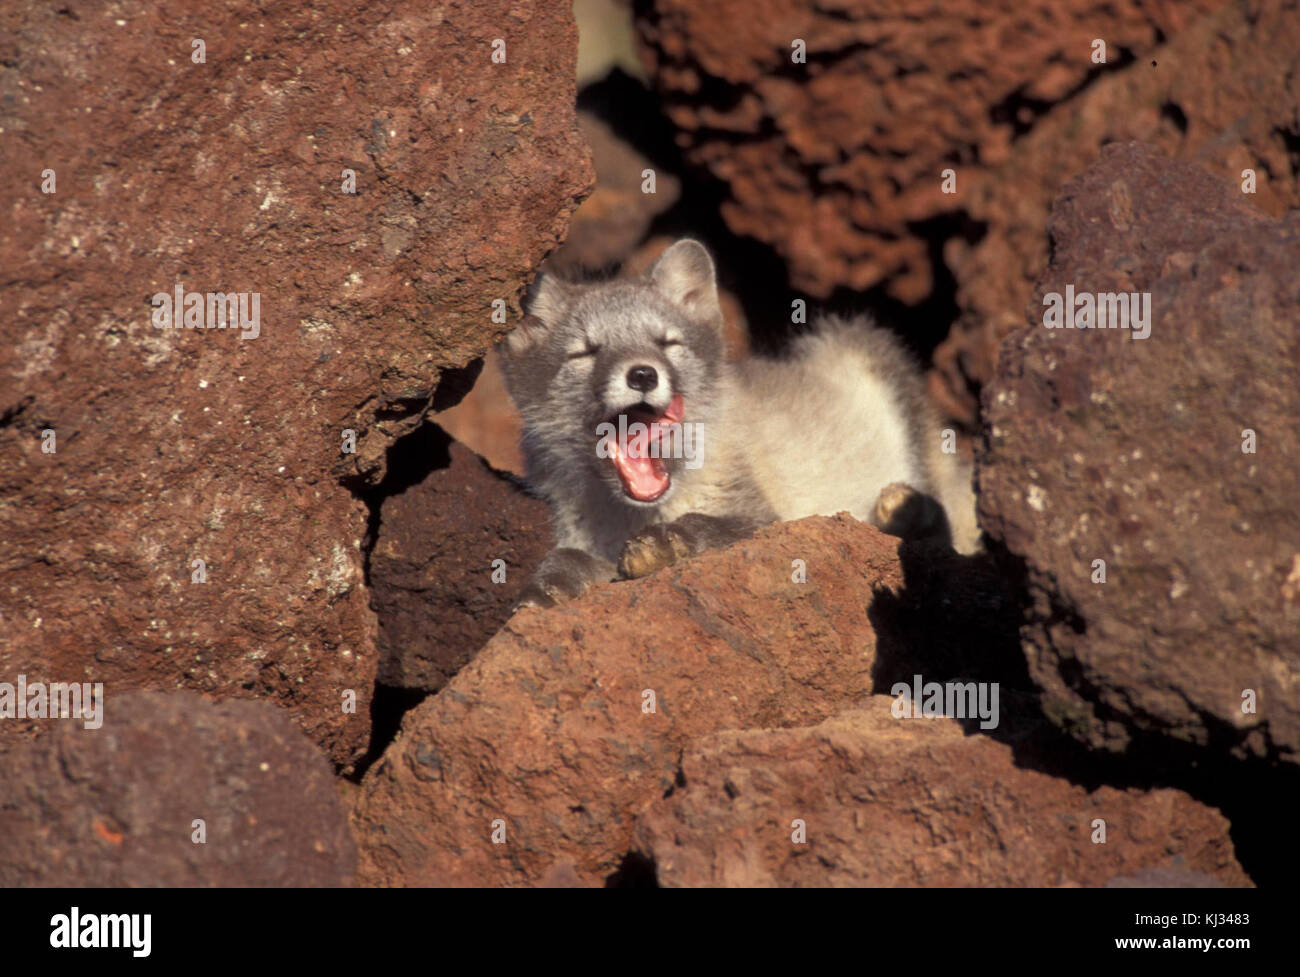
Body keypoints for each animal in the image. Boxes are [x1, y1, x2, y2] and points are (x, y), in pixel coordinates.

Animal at [498, 239, 980, 608]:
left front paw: (666, 543)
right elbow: (568, 559)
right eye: (586, 352)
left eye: (667, 343)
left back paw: (906, 513)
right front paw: (545, 587)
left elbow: (717, 527)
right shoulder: (575, 532)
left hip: (861, 349)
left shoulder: (766, 515)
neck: (632, 515)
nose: (643, 374)